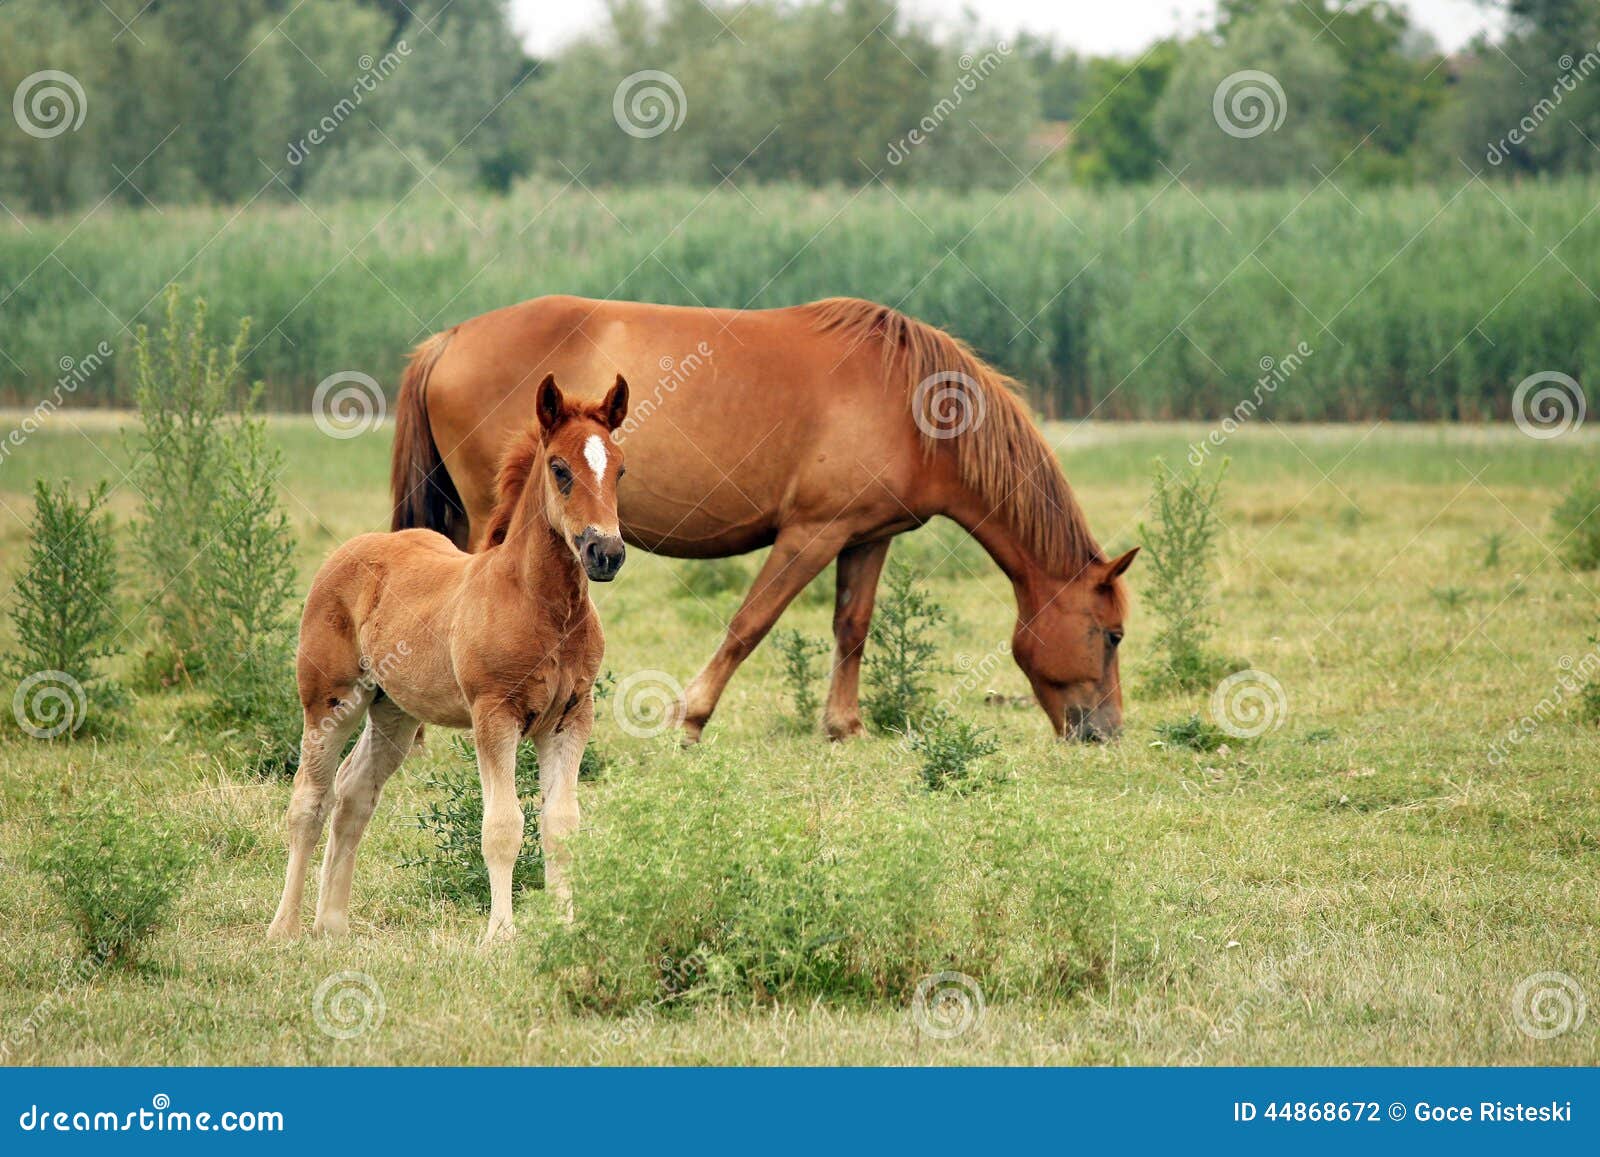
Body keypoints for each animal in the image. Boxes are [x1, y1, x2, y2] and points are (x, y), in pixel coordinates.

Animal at [268, 373, 629, 946]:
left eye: (619, 468)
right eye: (560, 469)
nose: (606, 554)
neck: (541, 606)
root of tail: (348, 552)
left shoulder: (572, 718)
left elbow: (561, 826)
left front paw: (565, 928)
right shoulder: (495, 715)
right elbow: (503, 826)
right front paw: (499, 935)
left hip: (393, 711)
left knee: (353, 795)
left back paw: (333, 924)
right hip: (329, 701)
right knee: (309, 800)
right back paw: (284, 925)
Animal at [389, 296, 1137, 744]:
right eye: (1113, 634)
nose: (1105, 731)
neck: (912, 402)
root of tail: (448, 339)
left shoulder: (866, 538)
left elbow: (852, 626)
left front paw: (843, 727)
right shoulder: (811, 534)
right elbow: (751, 623)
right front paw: (690, 718)